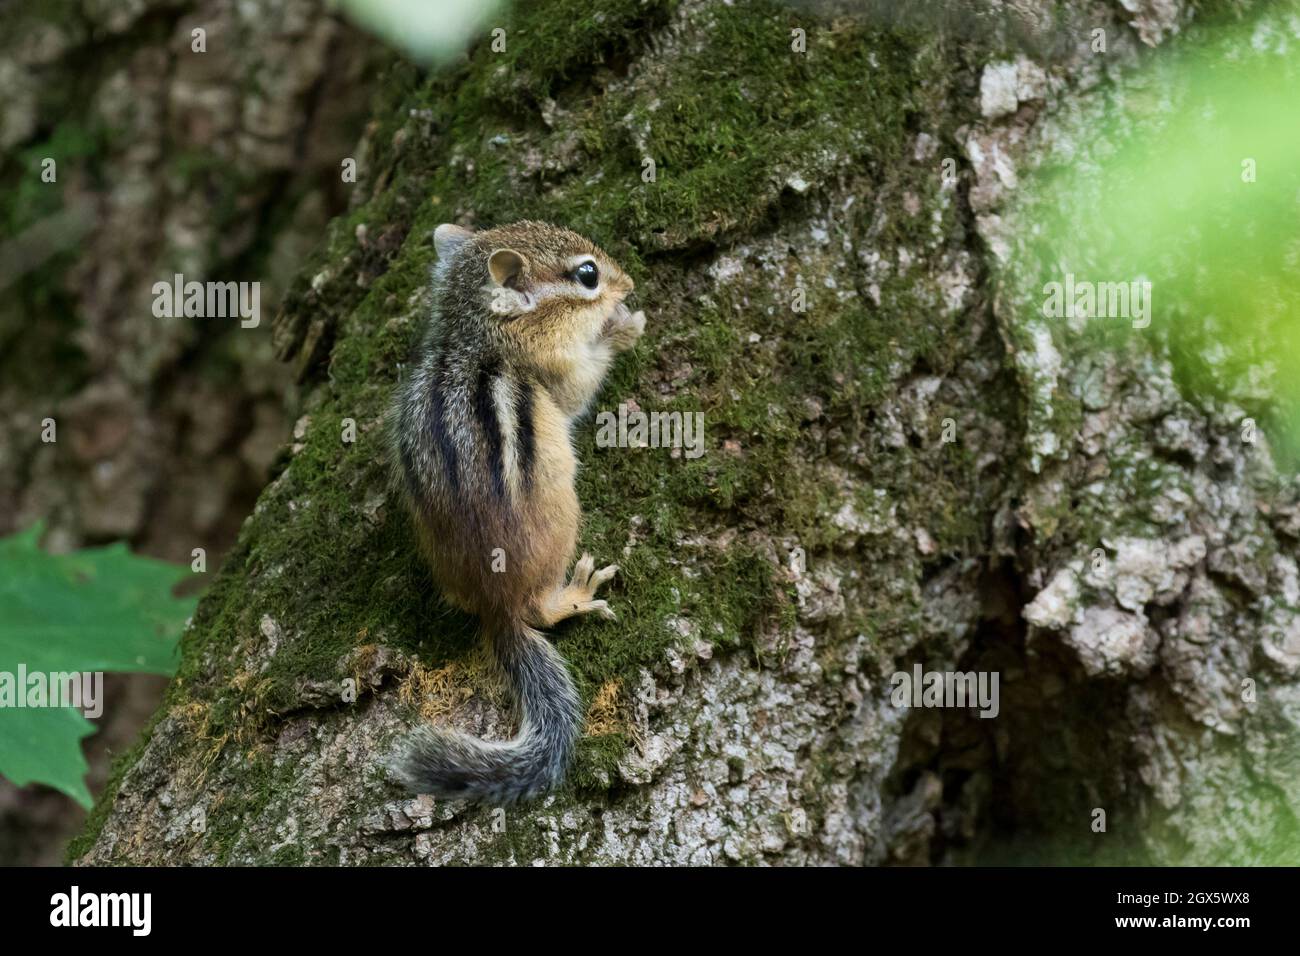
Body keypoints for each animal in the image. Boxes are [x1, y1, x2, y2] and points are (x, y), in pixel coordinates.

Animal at [387, 220, 645, 803]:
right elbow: (579, 389)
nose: (629, 282)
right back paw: (574, 594)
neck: (476, 335)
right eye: (588, 275)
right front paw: (621, 327)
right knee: (538, 610)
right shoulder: (554, 369)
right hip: (562, 520)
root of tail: (495, 604)